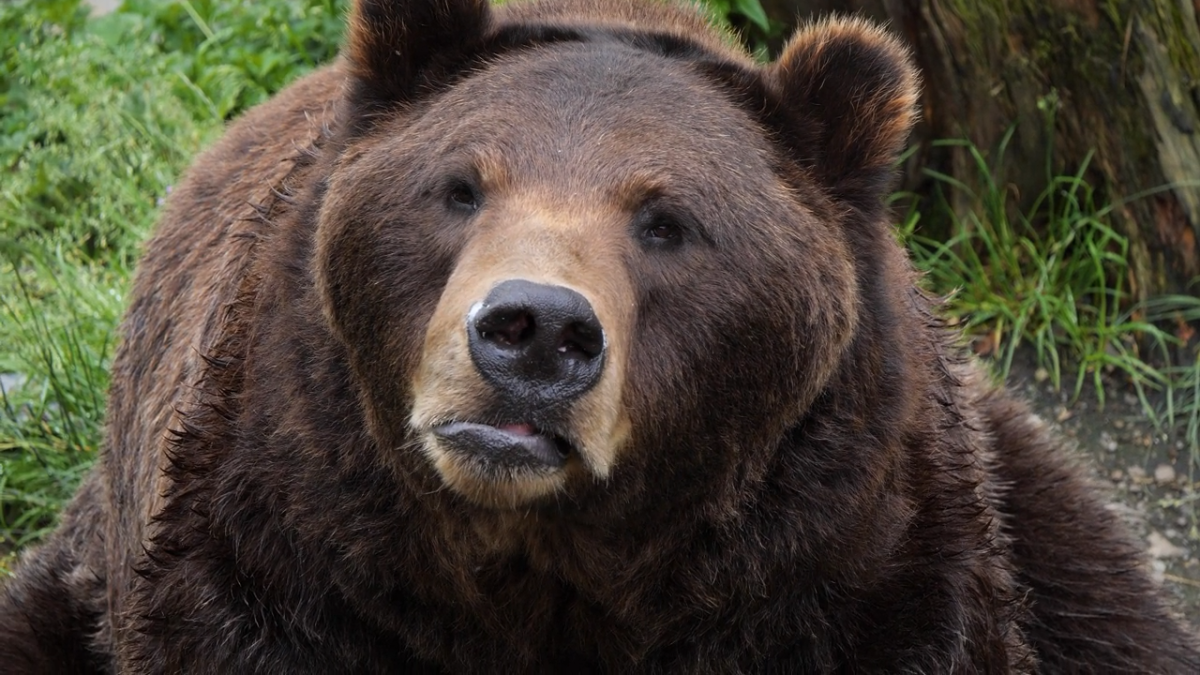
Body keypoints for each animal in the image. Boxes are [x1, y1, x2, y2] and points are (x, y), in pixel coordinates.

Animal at [2, 0, 1198, 671]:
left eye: (667, 221)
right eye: (459, 186)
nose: (532, 333)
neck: (550, 552)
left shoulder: (843, 551)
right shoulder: (281, 530)